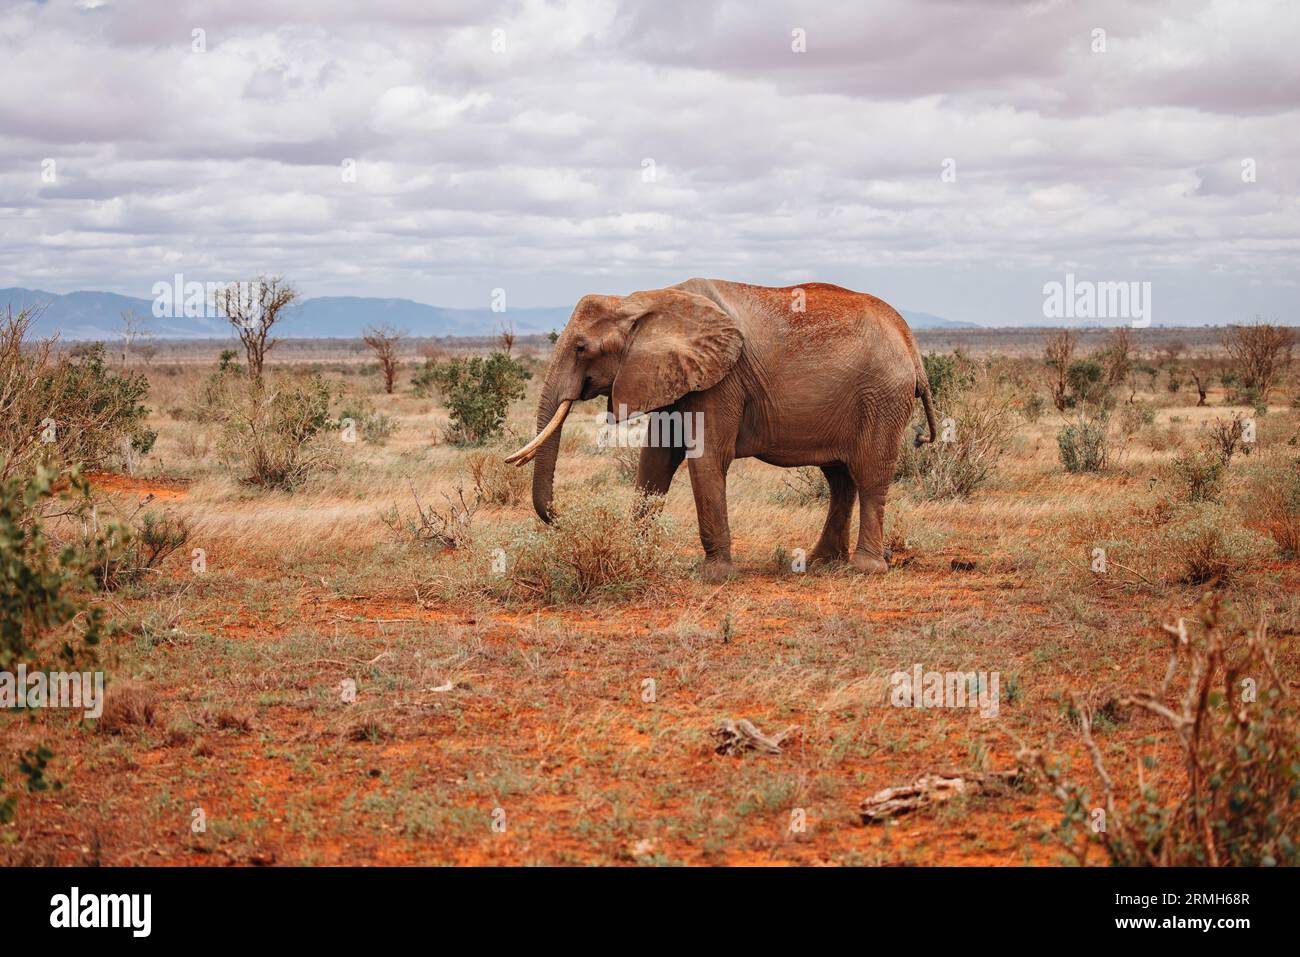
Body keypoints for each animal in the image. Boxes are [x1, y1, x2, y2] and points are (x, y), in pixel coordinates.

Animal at [505, 278, 937, 582]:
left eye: (580, 348)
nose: (562, 515)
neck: (642, 301)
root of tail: (912, 345)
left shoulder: (721, 380)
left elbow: (706, 456)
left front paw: (714, 575)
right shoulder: (675, 374)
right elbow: (655, 461)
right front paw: (635, 554)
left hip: (882, 395)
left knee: (869, 474)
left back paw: (863, 569)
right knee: (839, 478)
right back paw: (820, 563)